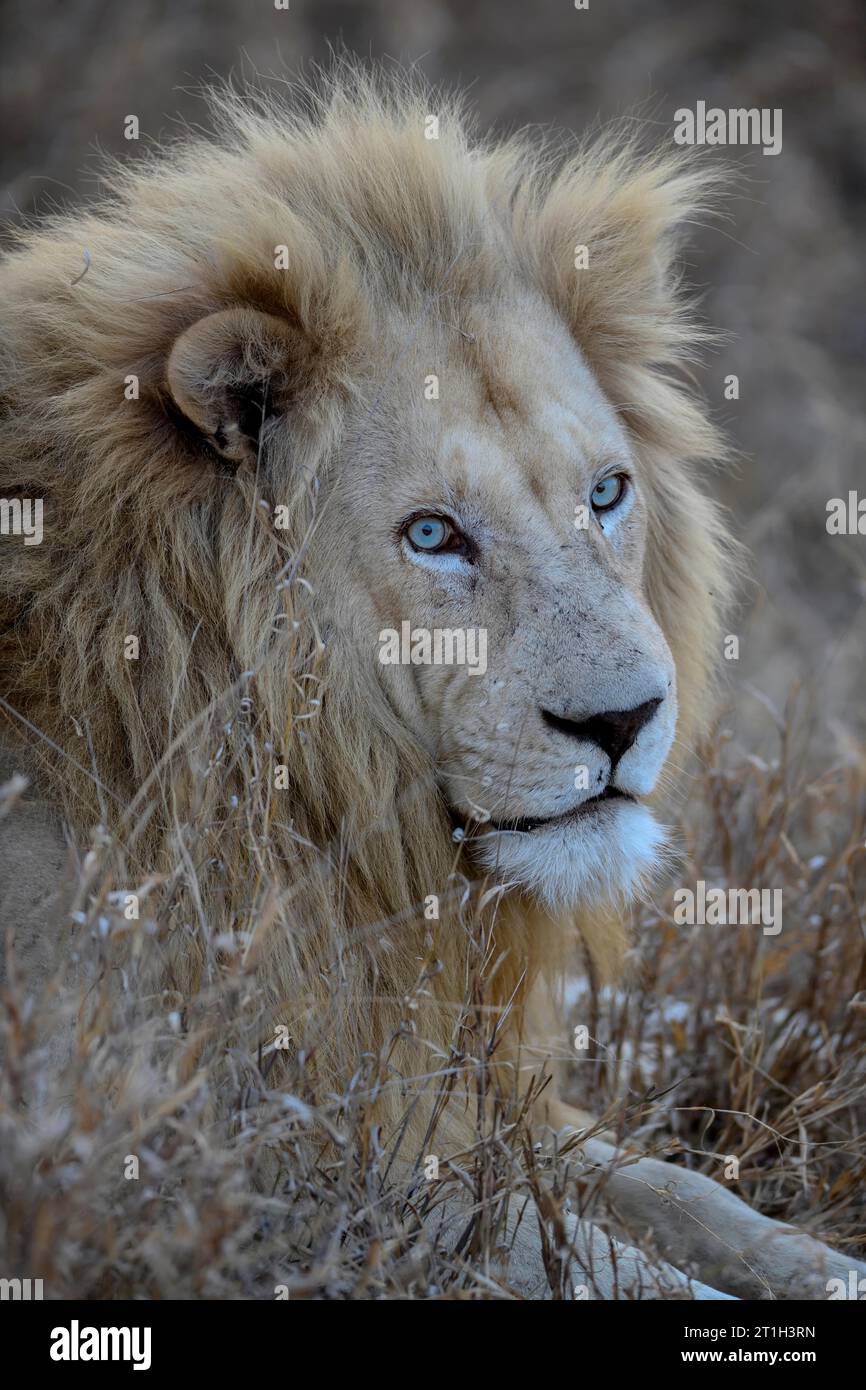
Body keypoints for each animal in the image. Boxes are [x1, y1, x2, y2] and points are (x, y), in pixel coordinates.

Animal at [0, 64, 861, 1299]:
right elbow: (580, 1256)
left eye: (606, 492)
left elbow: (681, 1189)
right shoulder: (254, 1153)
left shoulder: (436, 1075)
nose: (624, 721)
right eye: (433, 533)